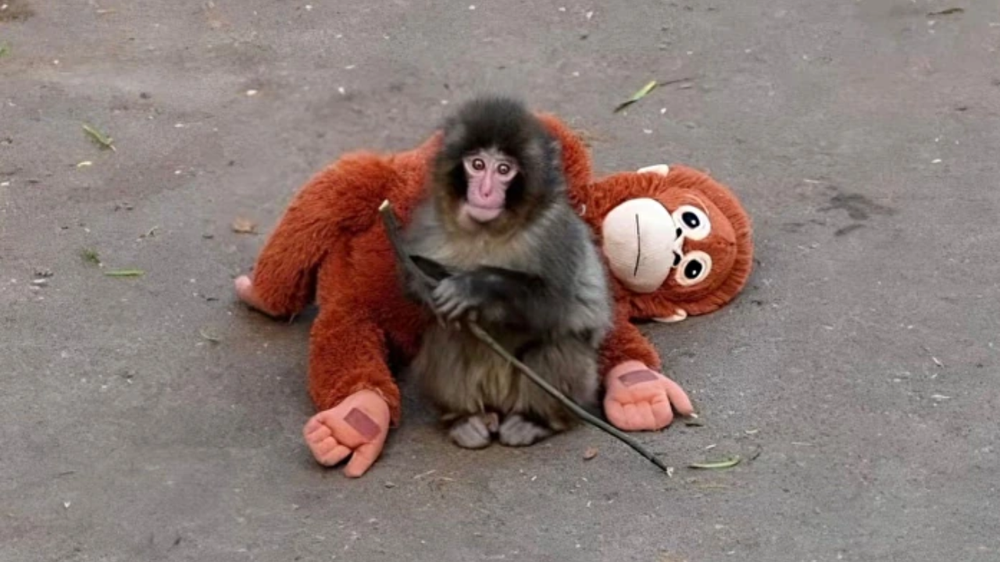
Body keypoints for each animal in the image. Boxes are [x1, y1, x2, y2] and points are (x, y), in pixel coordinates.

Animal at [401, 96, 614, 449]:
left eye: (503, 169)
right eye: (476, 165)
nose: (485, 192)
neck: (488, 233)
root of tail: (499, 405)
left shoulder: (554, 233)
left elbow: (552, 307)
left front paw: (474, 287)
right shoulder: (428, 223)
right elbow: (411, 282)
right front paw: (431, 286)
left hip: (581, 384)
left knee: (555, 346)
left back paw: (534, 421)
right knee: (447, 336)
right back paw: (464, 419)